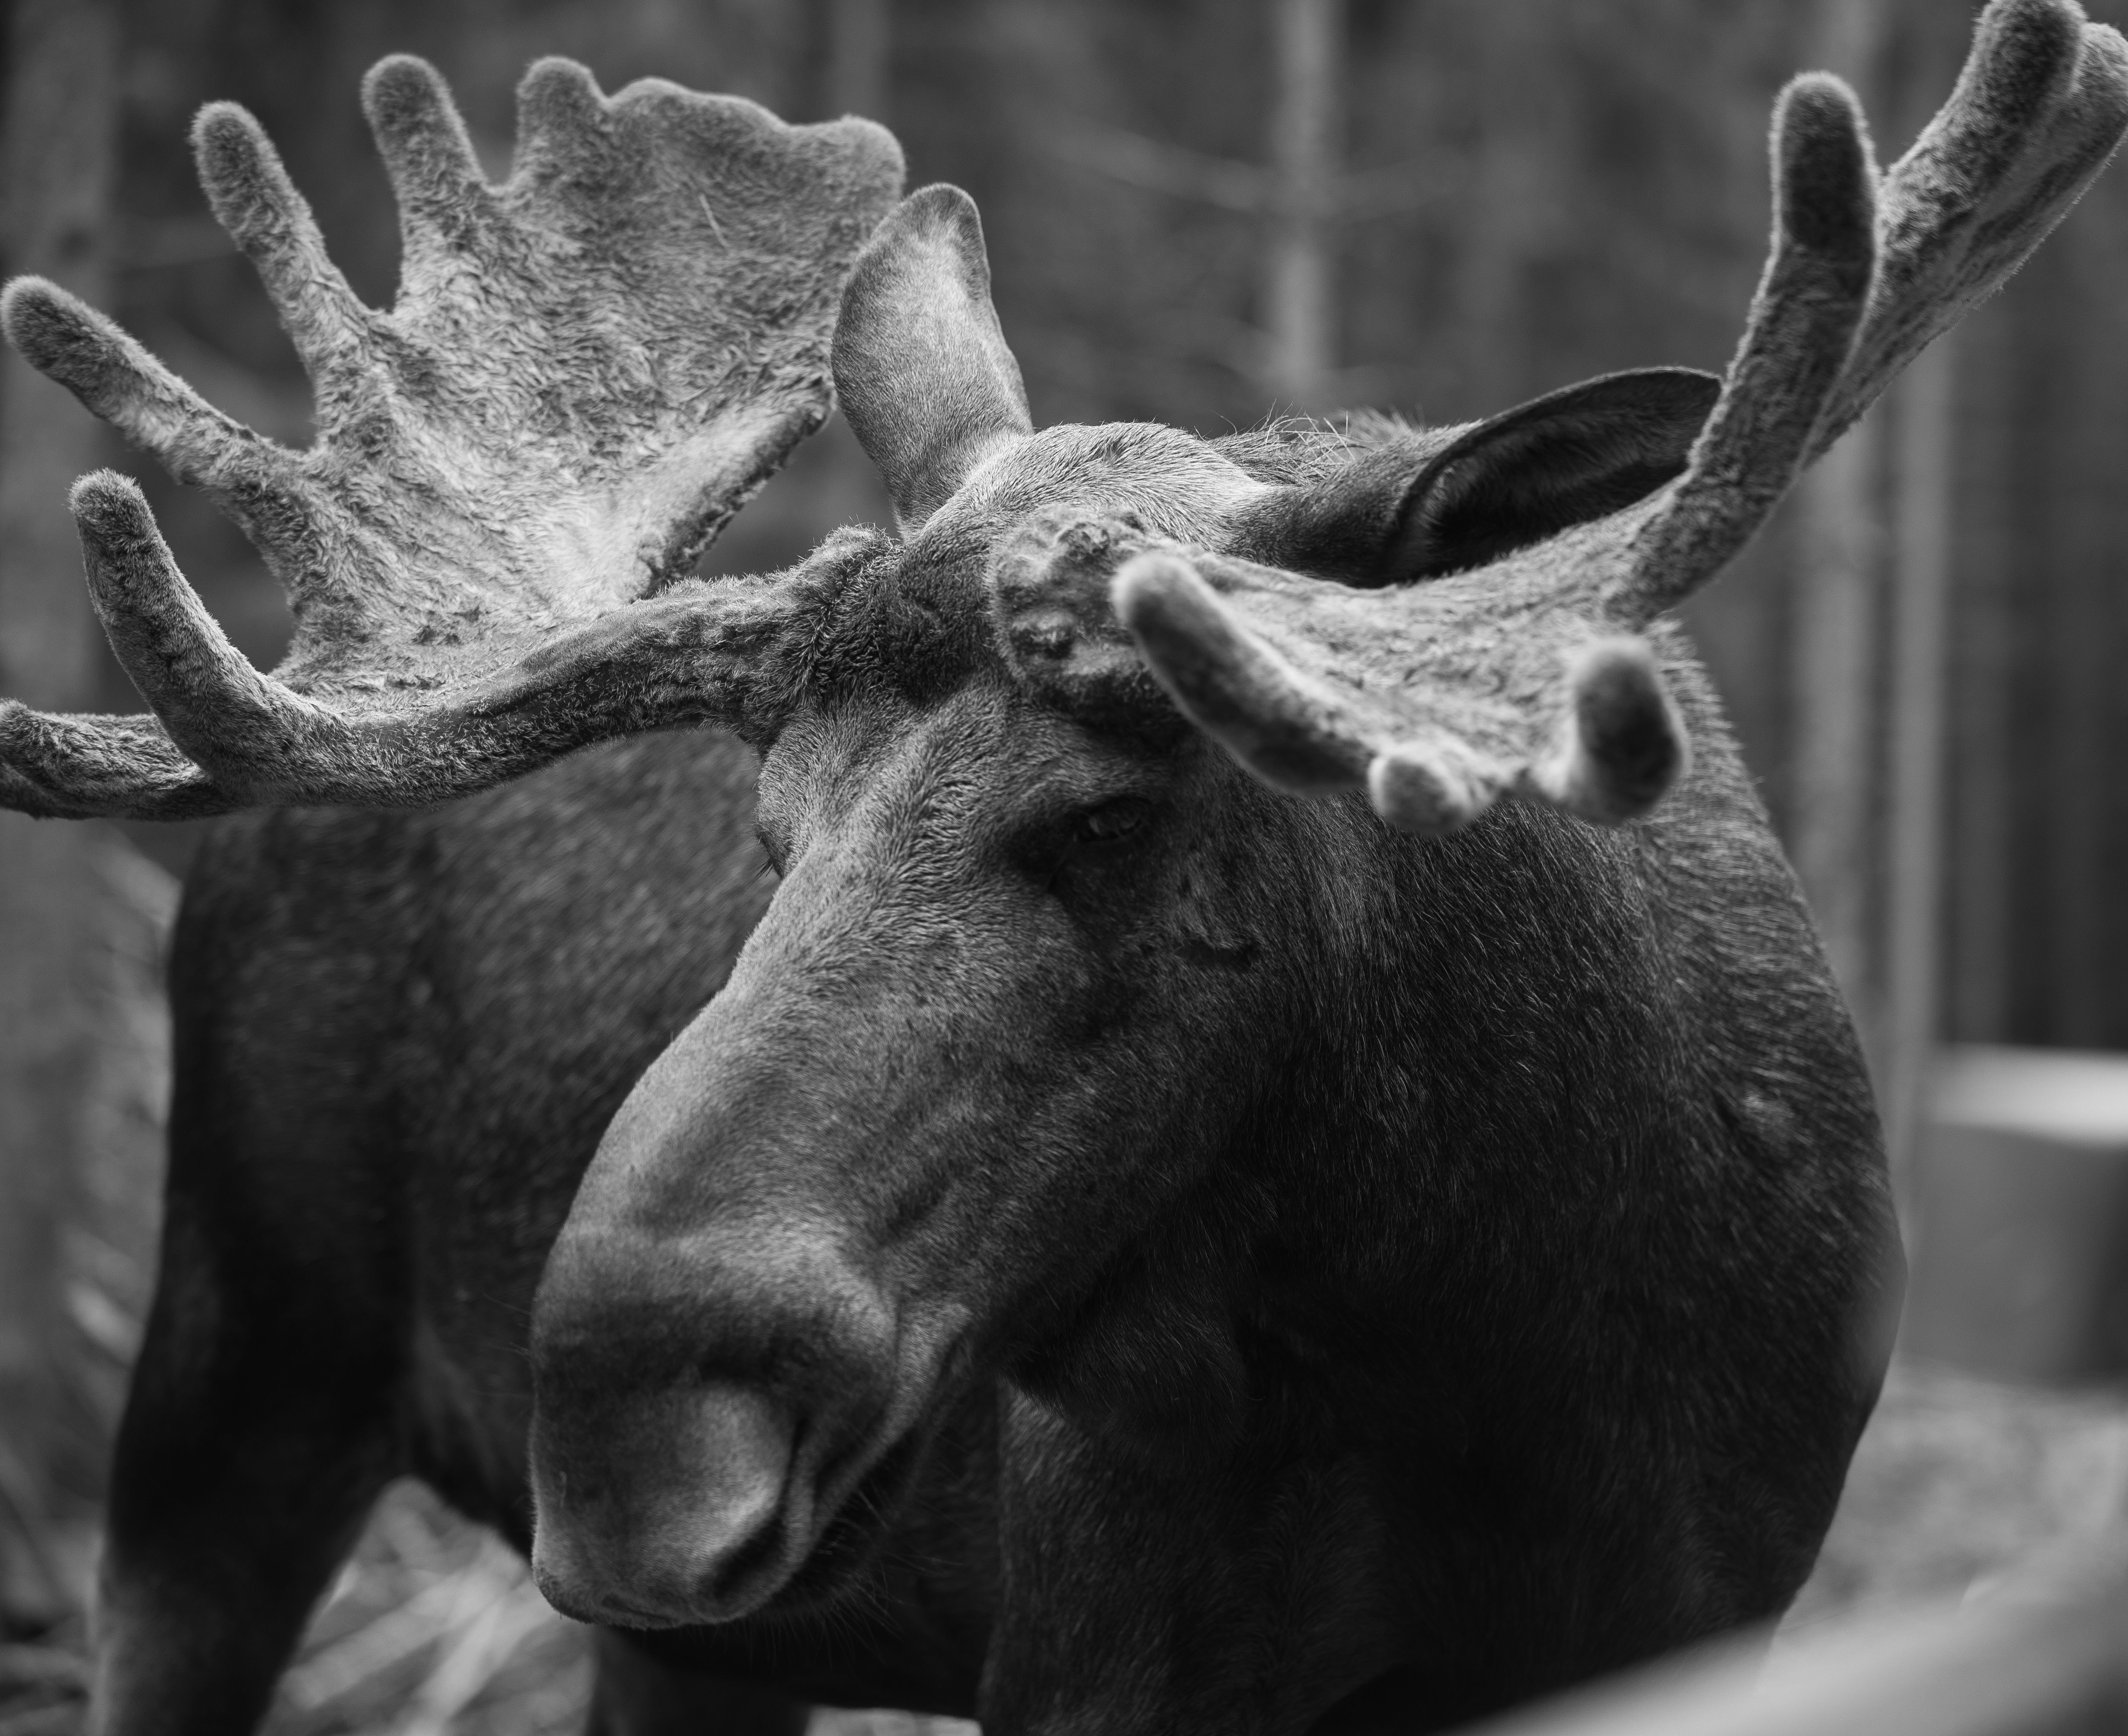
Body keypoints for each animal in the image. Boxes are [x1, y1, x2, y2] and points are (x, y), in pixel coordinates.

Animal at [1, 4, 2122, 1733]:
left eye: (1111, 813)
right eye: (764, 829)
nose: (619, 1434)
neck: (1500, 1348)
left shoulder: (1710, 1623)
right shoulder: (1109, 1660)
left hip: (667, 1636)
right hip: (224, 1390)